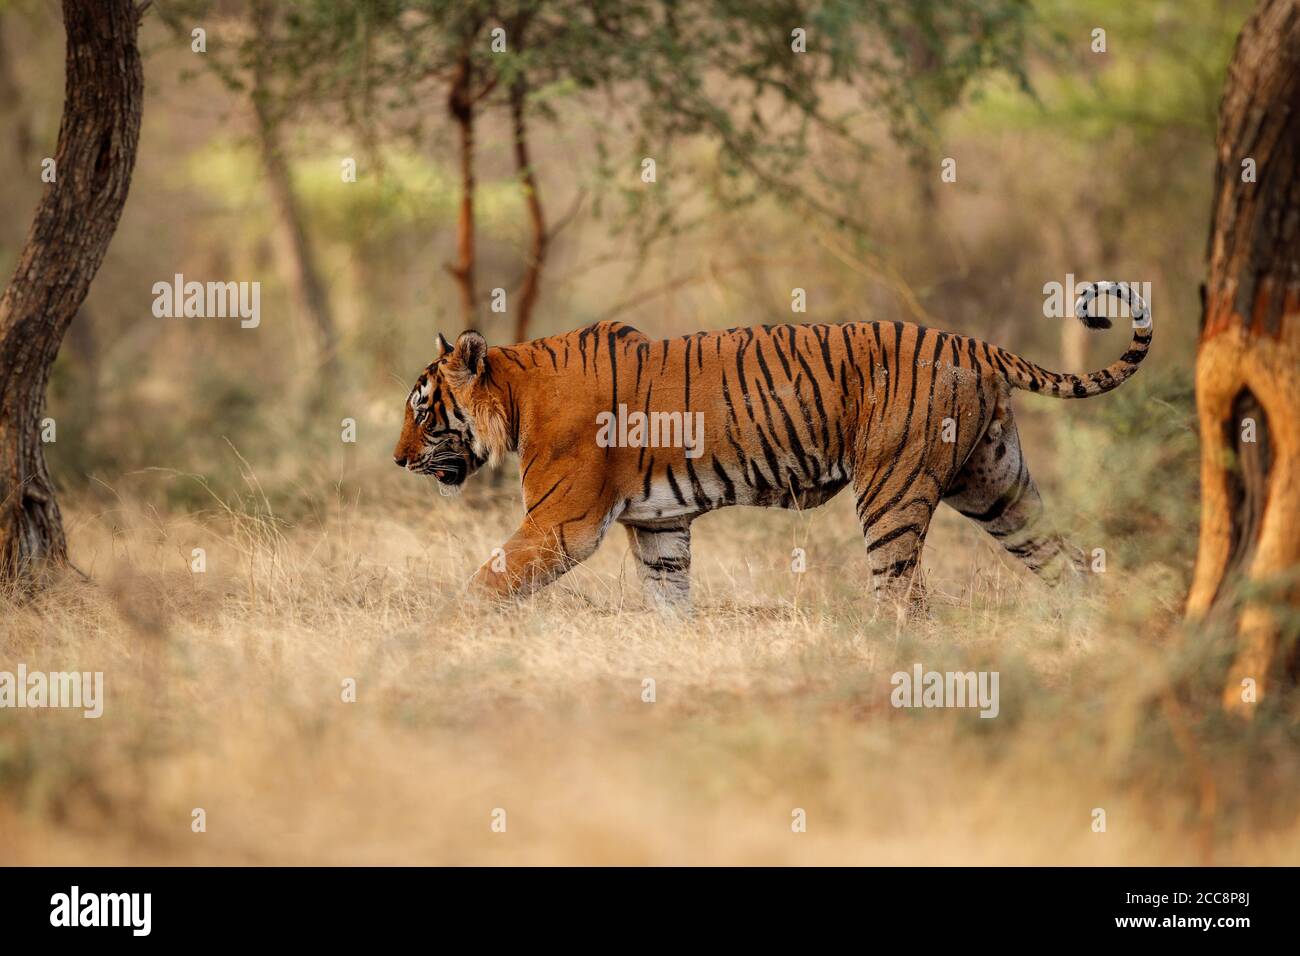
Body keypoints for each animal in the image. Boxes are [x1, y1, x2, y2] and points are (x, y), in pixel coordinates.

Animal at [392, 282, 1151, 611]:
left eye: (423, 410)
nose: (397, 460)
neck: (516, 395)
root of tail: (972, 343)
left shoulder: (560, 523)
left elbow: (487, 579)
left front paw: (440, 628)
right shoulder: (660, 528)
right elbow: (669, 602)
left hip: (892, 490)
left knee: (903, 595)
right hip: (997, 488)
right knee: (1069, 564)